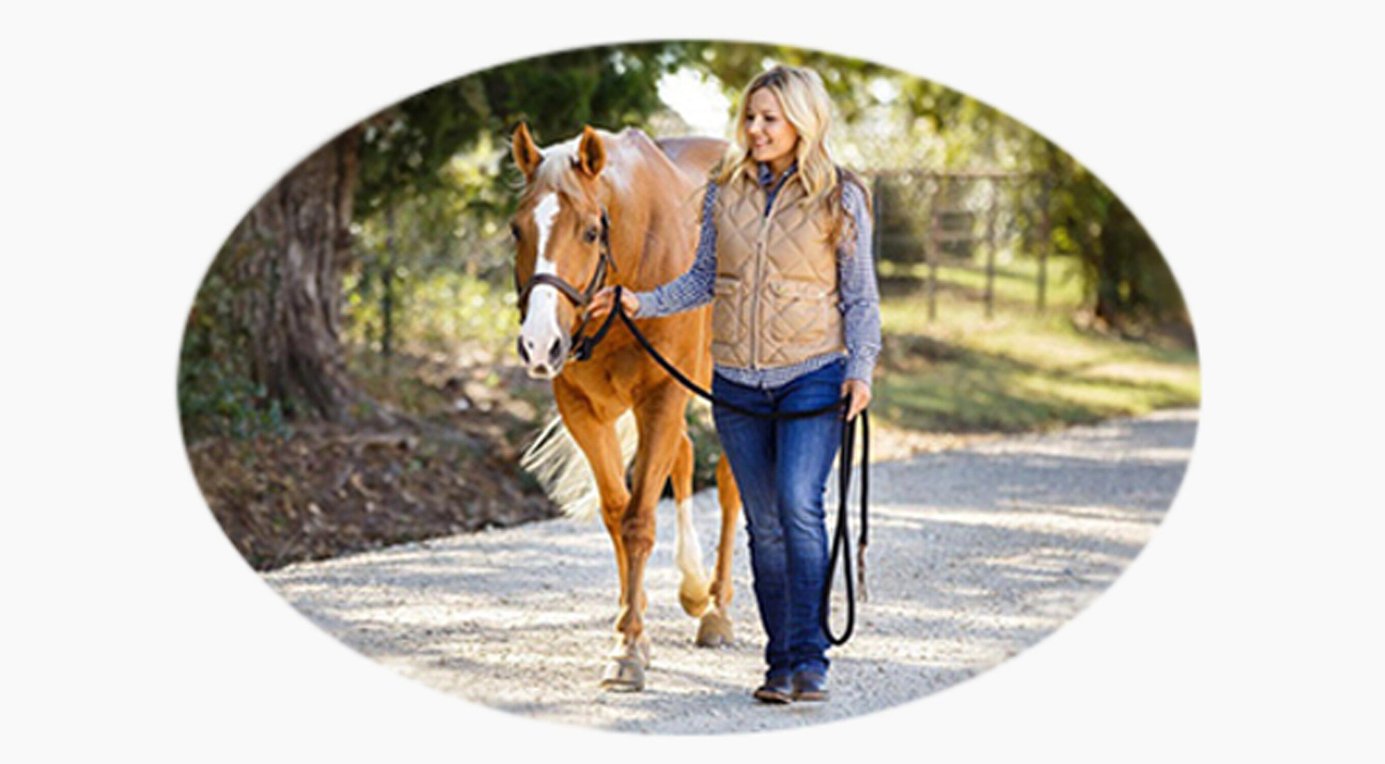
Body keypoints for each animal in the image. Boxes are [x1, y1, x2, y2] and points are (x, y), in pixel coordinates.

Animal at [508, 123, 738, 691]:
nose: (539, 344)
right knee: (683, 454)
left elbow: (637, 521)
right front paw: (630, 627)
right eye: (516, 231)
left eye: (591, 232)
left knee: (729, 482)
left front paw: (629, 649)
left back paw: (717, 609)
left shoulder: (661, 398)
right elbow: (617, 513)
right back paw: (693, 589)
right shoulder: (582, 408)